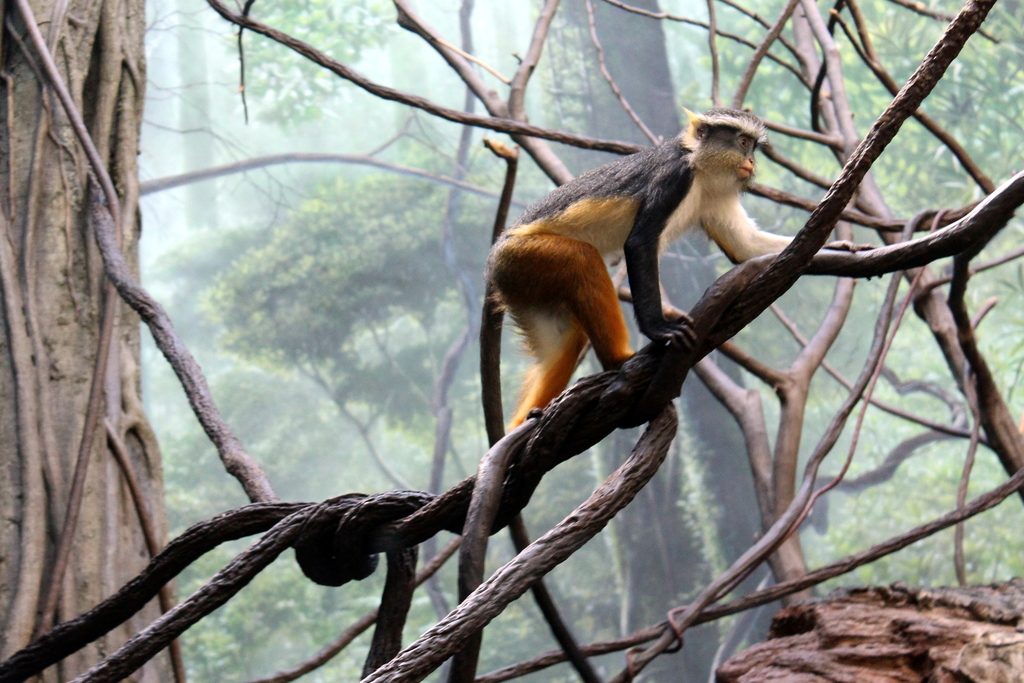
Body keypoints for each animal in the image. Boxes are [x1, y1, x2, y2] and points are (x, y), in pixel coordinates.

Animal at [488, 108, 833, 428]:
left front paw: (839, 248)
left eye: (753, 148)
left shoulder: (716, 194)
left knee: (562, 344)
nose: (750, 162)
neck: (698, 164)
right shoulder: (675, 178)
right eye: (743, 142)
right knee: (583, 259)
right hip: (525, 257)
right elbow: (639, 242)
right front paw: (658, 328)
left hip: (524, 285)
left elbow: (745, 247)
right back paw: (619, 359)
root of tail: (495, 256)